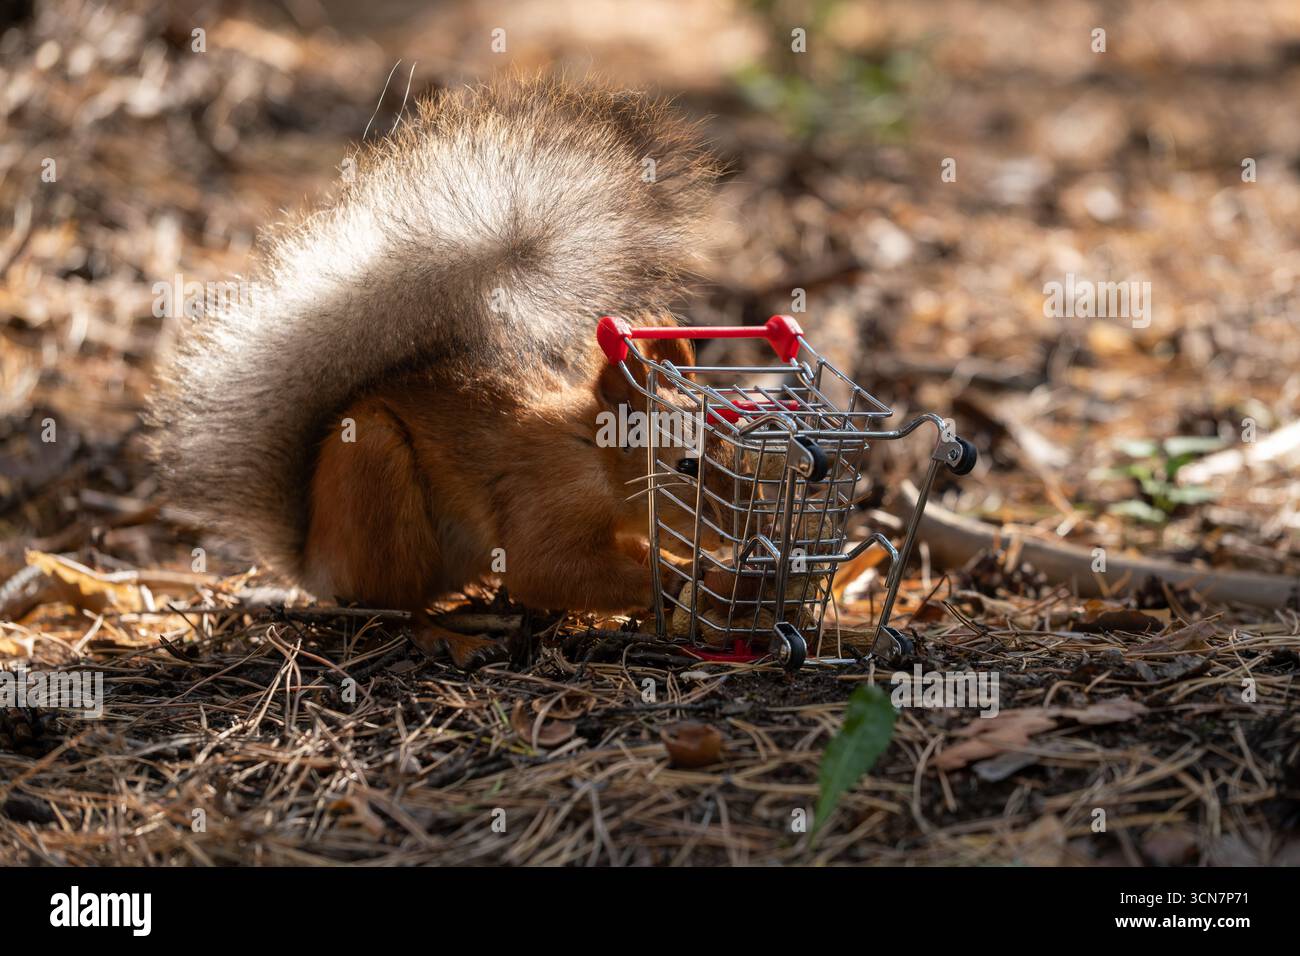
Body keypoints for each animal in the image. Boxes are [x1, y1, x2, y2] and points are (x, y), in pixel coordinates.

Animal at [149, 75, 723, 668]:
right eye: (687, 466)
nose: (728, 537)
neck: (590, 455)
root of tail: (316, 561)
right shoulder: (542, 500)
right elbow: (544, 571)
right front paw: (672, 583)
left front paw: (684, 569)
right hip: (374, 473)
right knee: (396, 608)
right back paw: (451, 637)